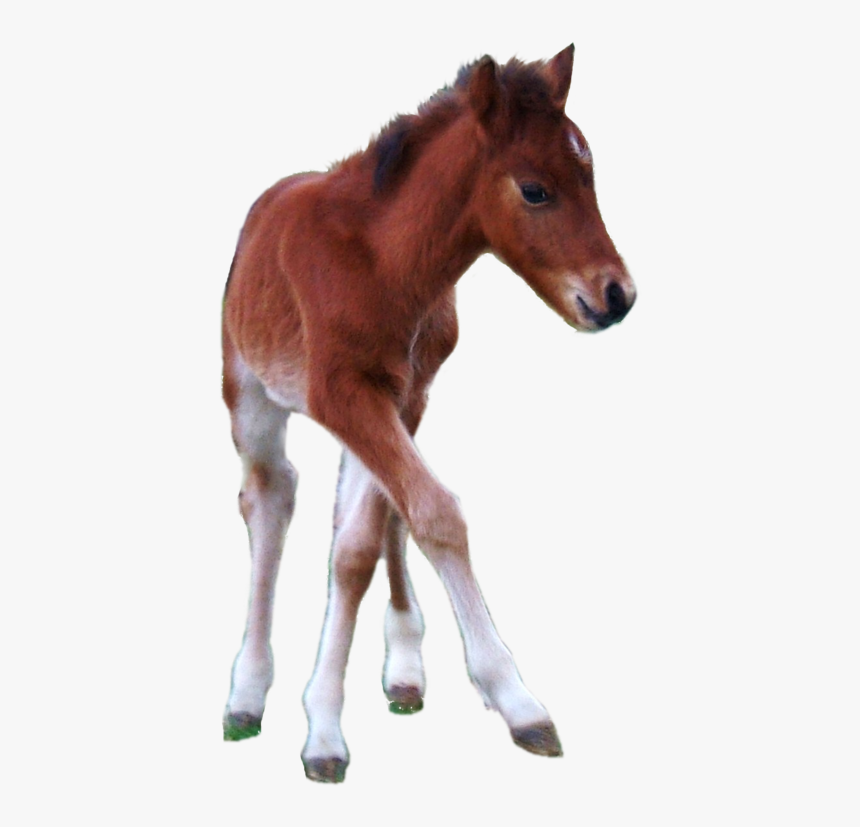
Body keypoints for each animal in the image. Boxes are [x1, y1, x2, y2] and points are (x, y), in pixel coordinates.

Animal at [221, 44, 636, 783]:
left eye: (591, 173)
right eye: (535, 190)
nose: (617, 296)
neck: (384, 260)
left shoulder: (401, 393)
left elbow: (366, 540)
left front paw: (331, 716)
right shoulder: (341, 392)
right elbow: (431, 515)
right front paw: (513, 697)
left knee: (358, 512)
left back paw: (404, 669)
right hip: (252, 392)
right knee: (269, 498)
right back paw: (247, 690)